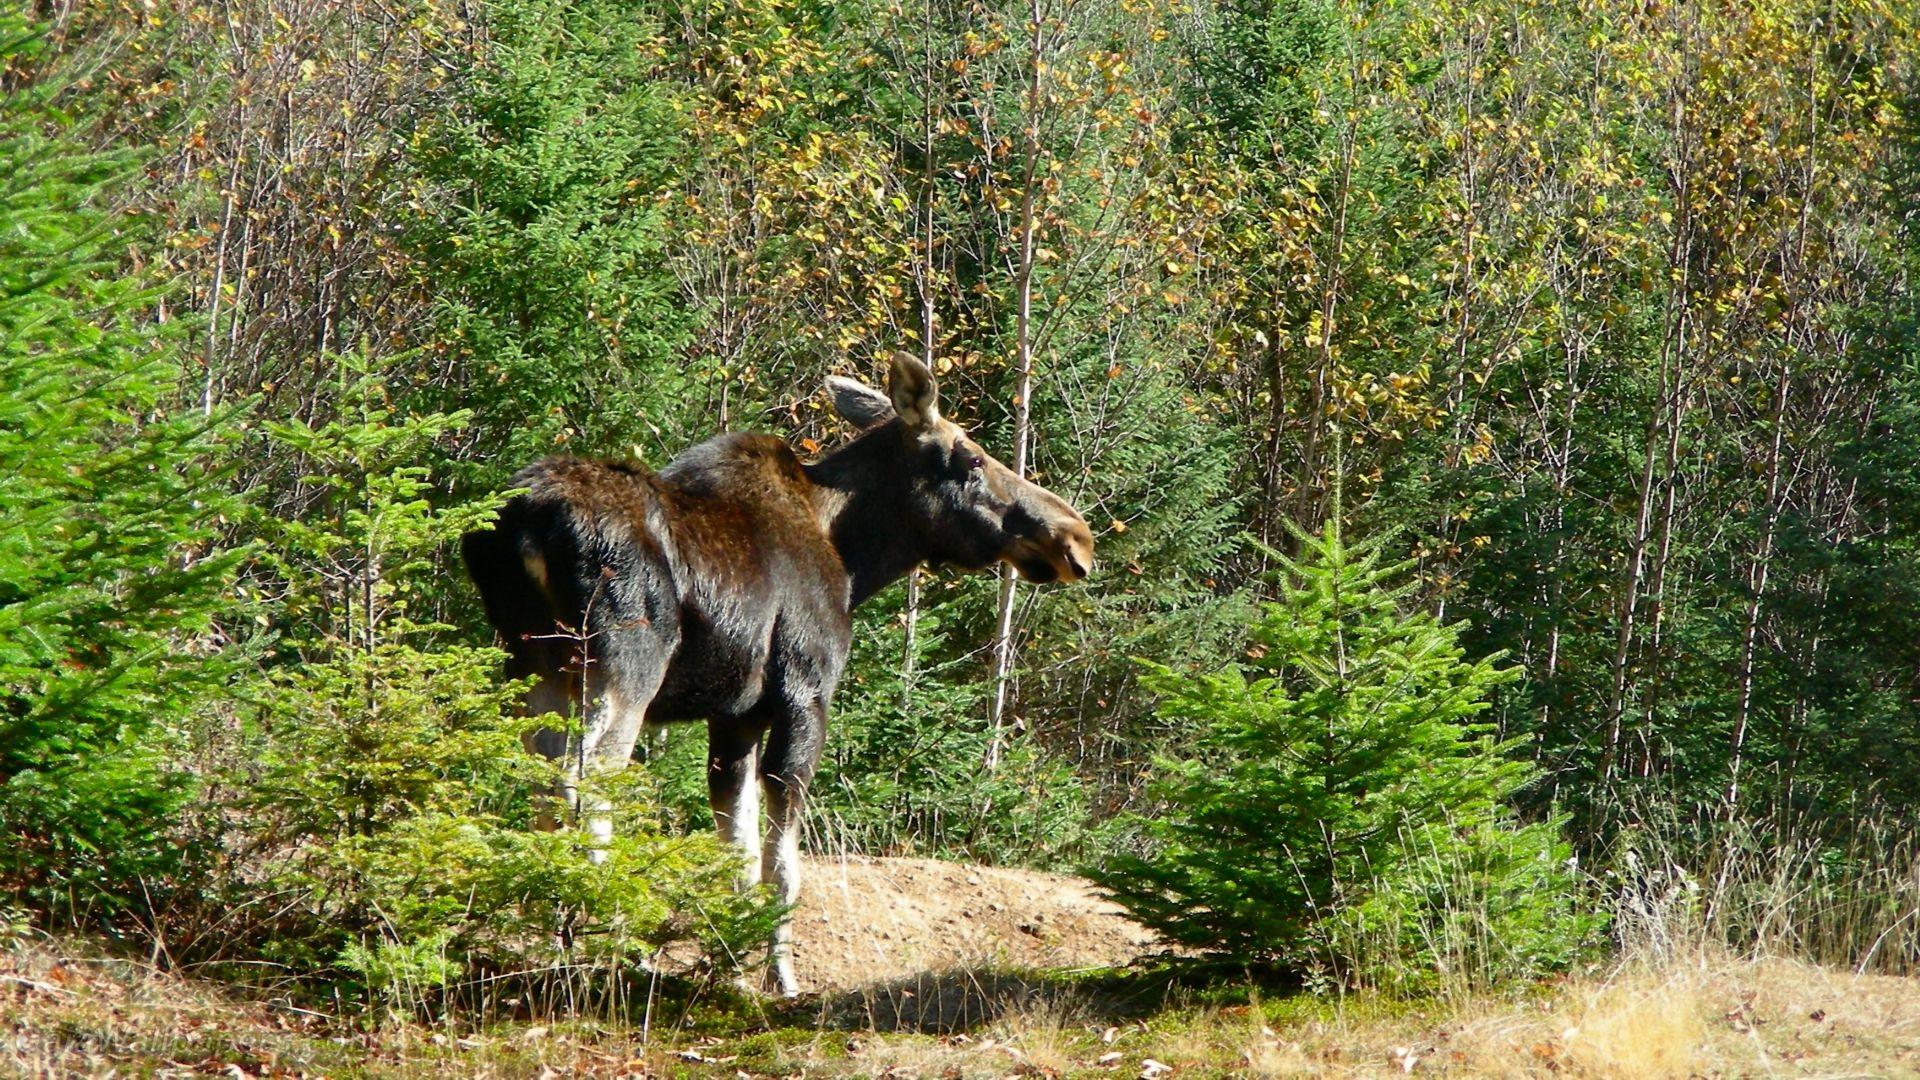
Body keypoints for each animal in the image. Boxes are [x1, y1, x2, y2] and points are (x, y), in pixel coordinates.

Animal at [461, 354, 1095, 996]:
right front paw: (780, 976)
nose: (1076, 537)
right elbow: (783, 865)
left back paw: (548, 937)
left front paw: (732, 966)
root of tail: (521, 526)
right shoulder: (804, 694)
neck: (855, 561)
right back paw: (612, 942)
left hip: (533, 664)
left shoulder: (735, 716)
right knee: (585, 784)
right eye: (972, 460)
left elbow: (737, 855)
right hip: (622, 664)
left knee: (539, 779)